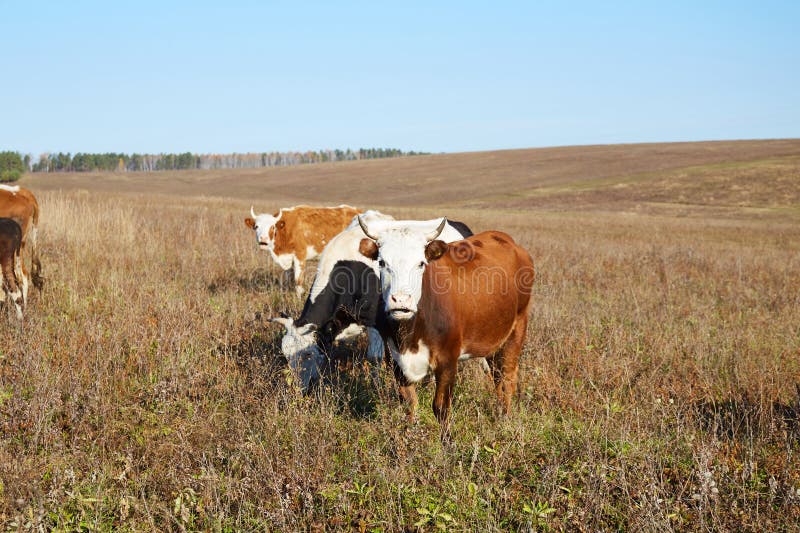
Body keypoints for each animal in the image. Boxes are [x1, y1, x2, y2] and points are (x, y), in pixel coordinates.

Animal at [270, 212, 475, 392]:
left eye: (307, 354)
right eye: (286, 354)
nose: (299, 388)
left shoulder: (376, 320)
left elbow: (375, 357)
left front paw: (377, 387)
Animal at [357, 216, 535, 436]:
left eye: (421, 263)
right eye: (382, 262)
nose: (401, 300)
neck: (410, 334)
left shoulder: (448, 360)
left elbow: (441, 408)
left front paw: (447, 442)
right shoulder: (396, 361)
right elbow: (409, 403)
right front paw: (411, 435)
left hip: (517, 327)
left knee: (508, 377)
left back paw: (506, 419)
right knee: (497, 376)